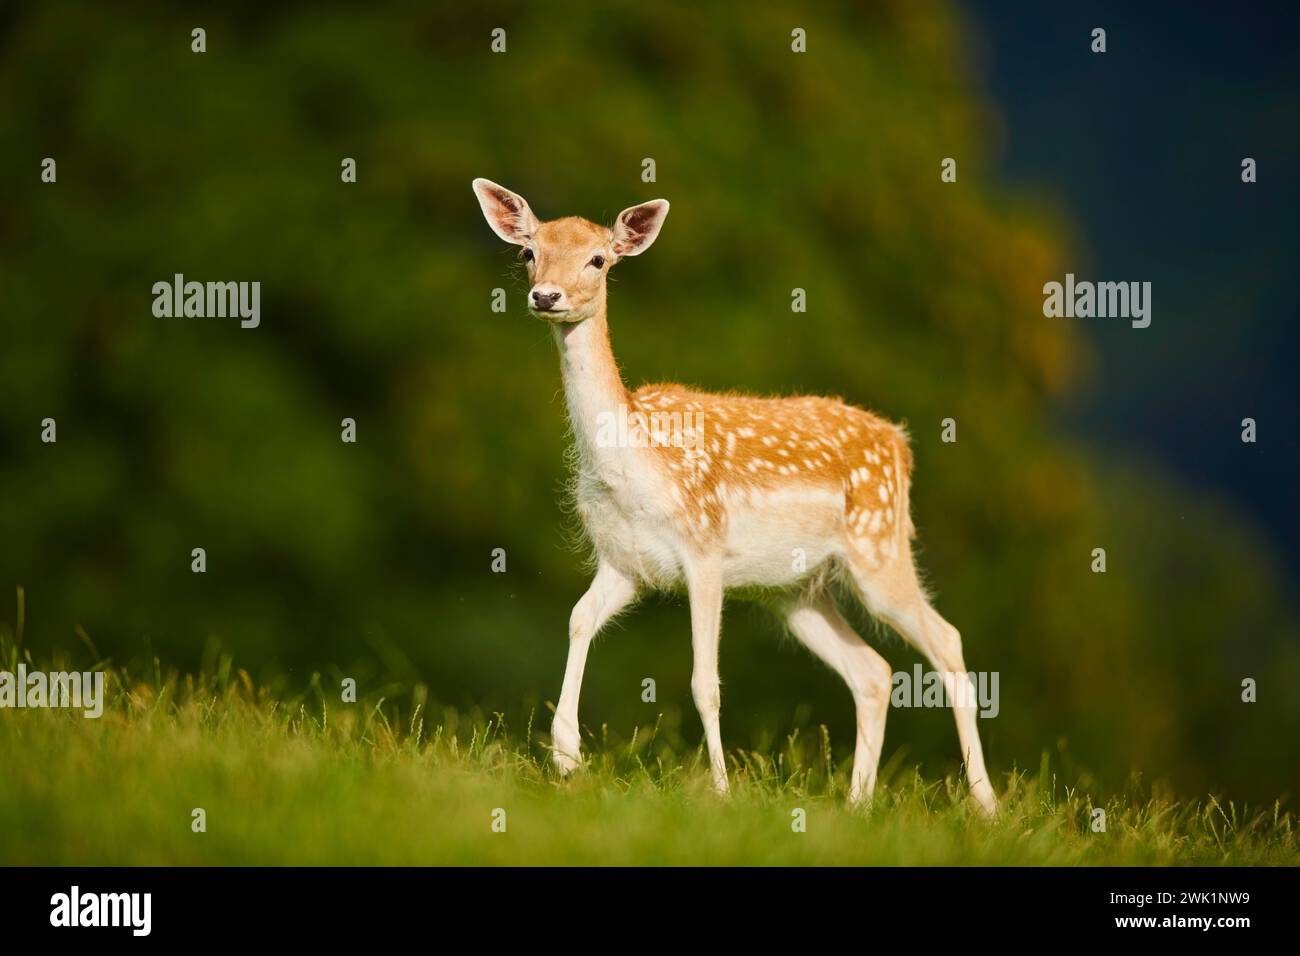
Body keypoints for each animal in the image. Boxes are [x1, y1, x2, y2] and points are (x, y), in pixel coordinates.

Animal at [472, 178, 998, 815]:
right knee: (872, 671)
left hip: (879, 548)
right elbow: (577, 620)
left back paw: (986, 805)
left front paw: (721, 792)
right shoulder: (625, 562)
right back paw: (857, 805)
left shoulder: (704, 548)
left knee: (946, 640)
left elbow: (705, 682)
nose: (546, 296)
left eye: (598, 259)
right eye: (530, 252)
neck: (635, 465)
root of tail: (899, 443)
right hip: (794, 592)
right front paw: (567, 756)